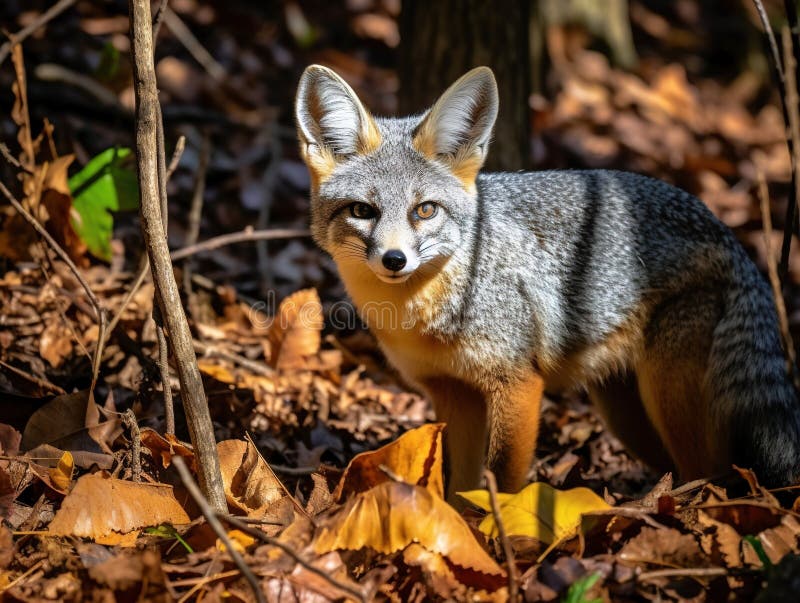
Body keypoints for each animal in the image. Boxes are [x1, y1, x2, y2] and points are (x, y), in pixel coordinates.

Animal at [294, 64, 800, 499]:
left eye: (425, 210)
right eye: (363, 211)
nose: (395, 260)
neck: (424, 311)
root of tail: (725, 230)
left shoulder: (517, 383)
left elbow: (502, 479)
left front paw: (501, 539)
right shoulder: (455, 393)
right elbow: (461, 487)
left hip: (666, 399)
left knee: (713, 472)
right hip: (627, 417)